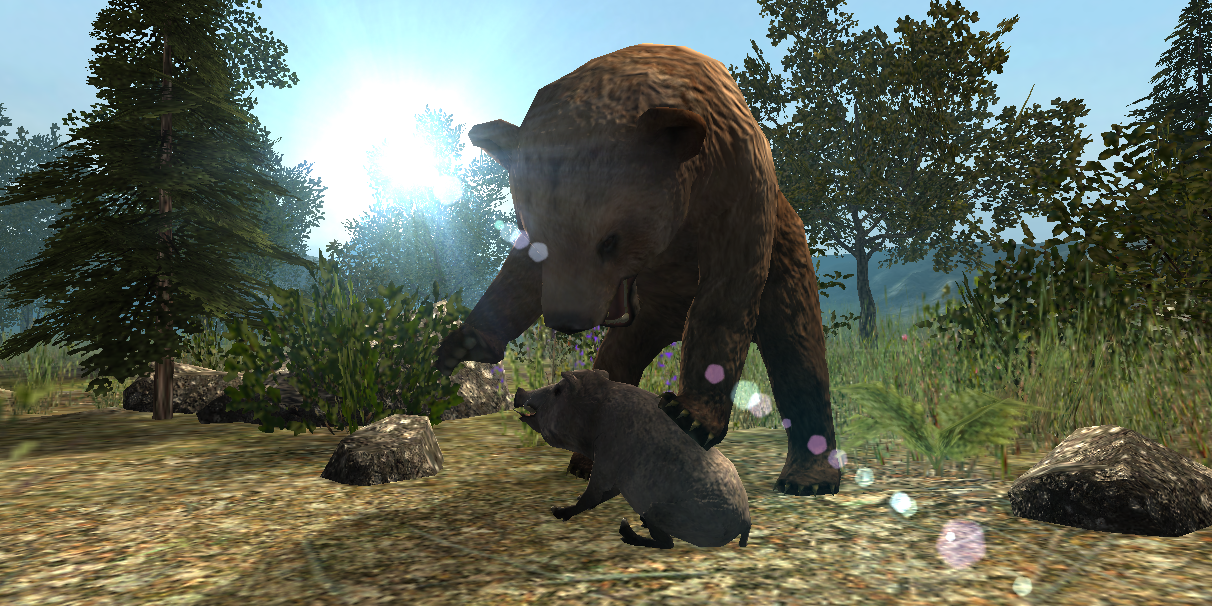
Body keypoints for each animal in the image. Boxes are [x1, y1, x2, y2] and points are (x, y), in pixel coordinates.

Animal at [433, 43, 839, 497]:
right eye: (536, 234)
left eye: (610, 240)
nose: (566, 320)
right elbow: (518, 280)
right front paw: (462, 345)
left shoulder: (738, 186)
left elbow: (727, 295)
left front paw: (690, 416)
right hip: (650, 311)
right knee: (617, 357)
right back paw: (589, 459)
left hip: (784, 258)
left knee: (797, 347)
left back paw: (808, 477)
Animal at [515, 369, 751, 549]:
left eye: (557, 390)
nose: (519, 390)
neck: (596, 413)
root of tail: (746, 519)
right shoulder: (616, 477)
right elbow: (603, 494)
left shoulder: (607, 458)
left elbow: (592, 493)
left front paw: (557, 511)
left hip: (668, 512)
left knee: (668, 543)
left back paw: (626, 529)